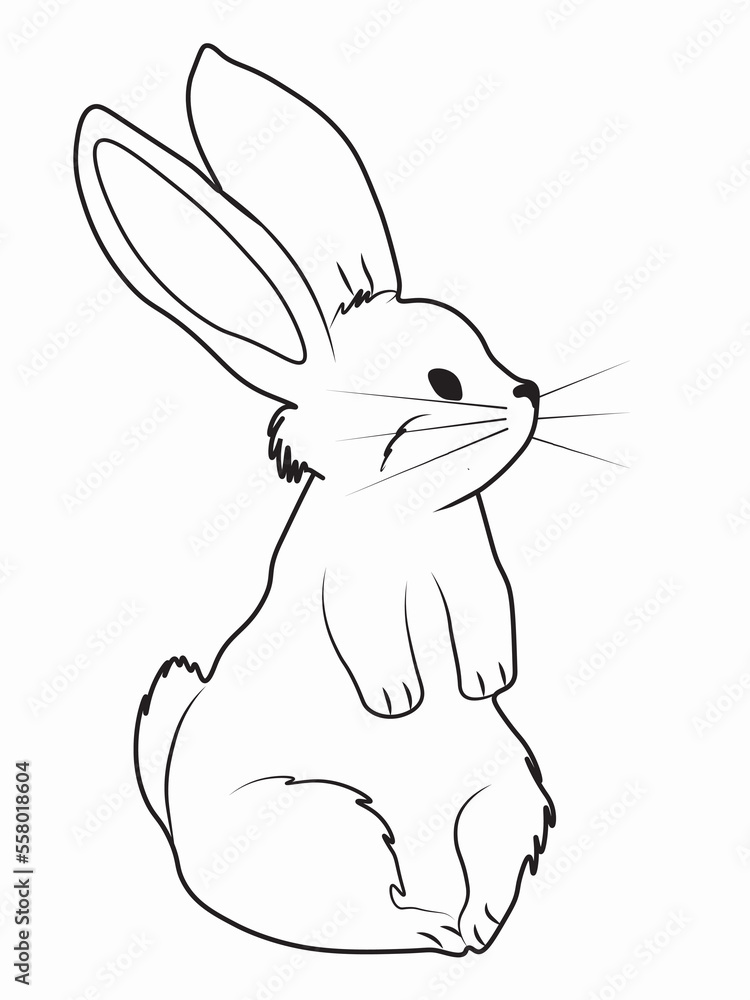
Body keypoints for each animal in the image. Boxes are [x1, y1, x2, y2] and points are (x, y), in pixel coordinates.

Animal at [74, 44, 555, 956]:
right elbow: (369, 637)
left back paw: (473, 925)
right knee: (380, 914)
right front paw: (398, 700)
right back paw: (440, 932)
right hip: (328, 821)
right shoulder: (347, 586)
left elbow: (487, 611)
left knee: (477, 876)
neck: (410, 513)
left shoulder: (473, 563)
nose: (528, 393)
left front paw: (486, 678)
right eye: (442, 381)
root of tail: (182, 845)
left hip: (502, 797)